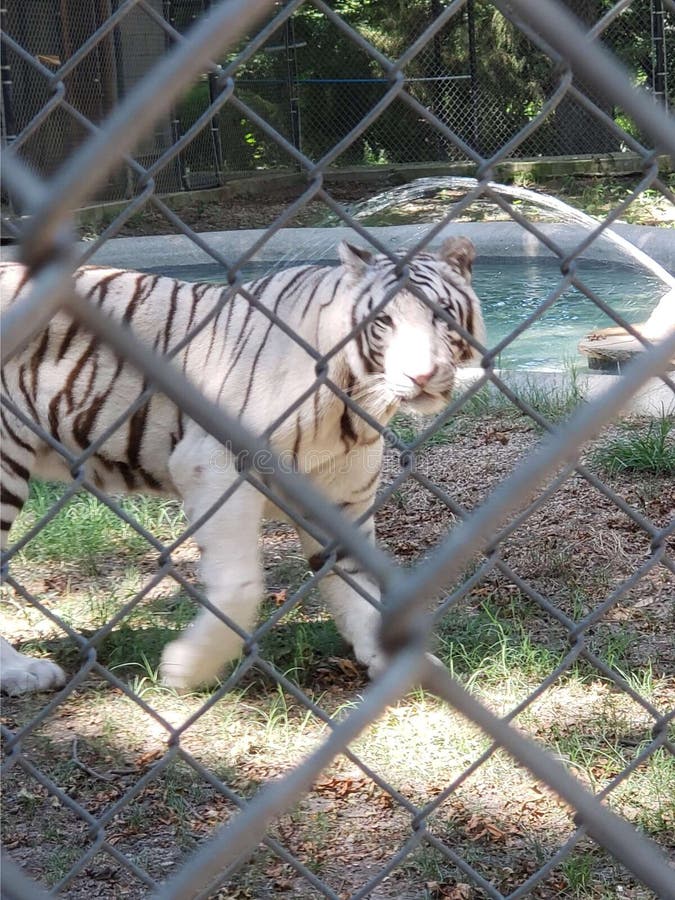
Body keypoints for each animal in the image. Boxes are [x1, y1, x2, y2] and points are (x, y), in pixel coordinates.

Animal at [0, 237, 485, 695]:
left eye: (442, 314)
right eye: (383, 321)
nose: (422, 376)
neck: (350, 407)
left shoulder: (344, 499)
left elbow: (357, 584)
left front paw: (389, 661)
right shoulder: (214, 466)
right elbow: (239, 585)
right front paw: (187, 667)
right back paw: (23, 672)